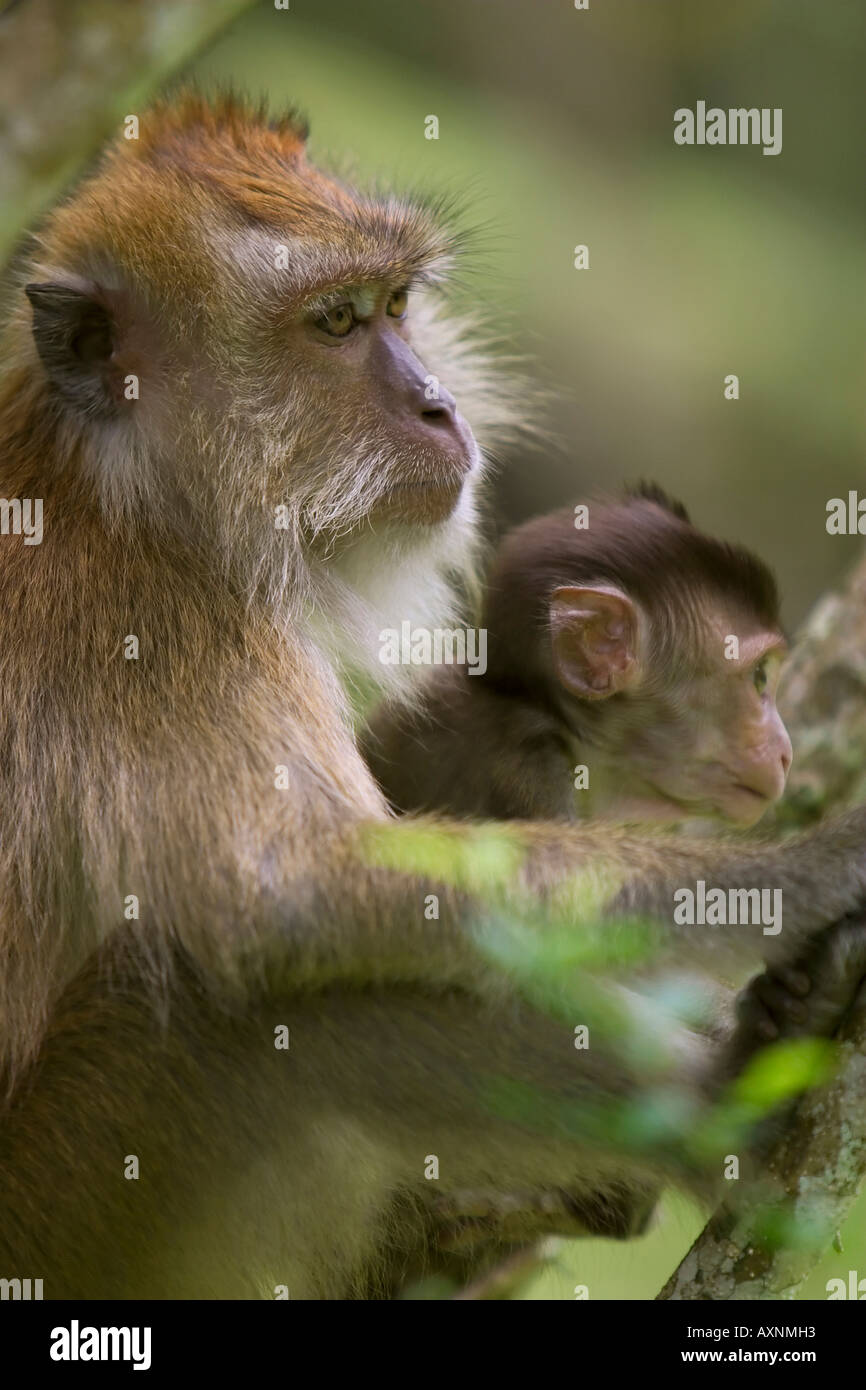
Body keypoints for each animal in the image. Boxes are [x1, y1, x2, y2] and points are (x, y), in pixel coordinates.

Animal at [0, 91, 864, 1299]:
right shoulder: (158, 628)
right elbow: (289, 894)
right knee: (267, 999)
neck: (117, 487)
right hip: (74, 1204)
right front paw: (801, 872)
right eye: (334, 322)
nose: (437, 405)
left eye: (397, 305)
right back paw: (727, 1115)